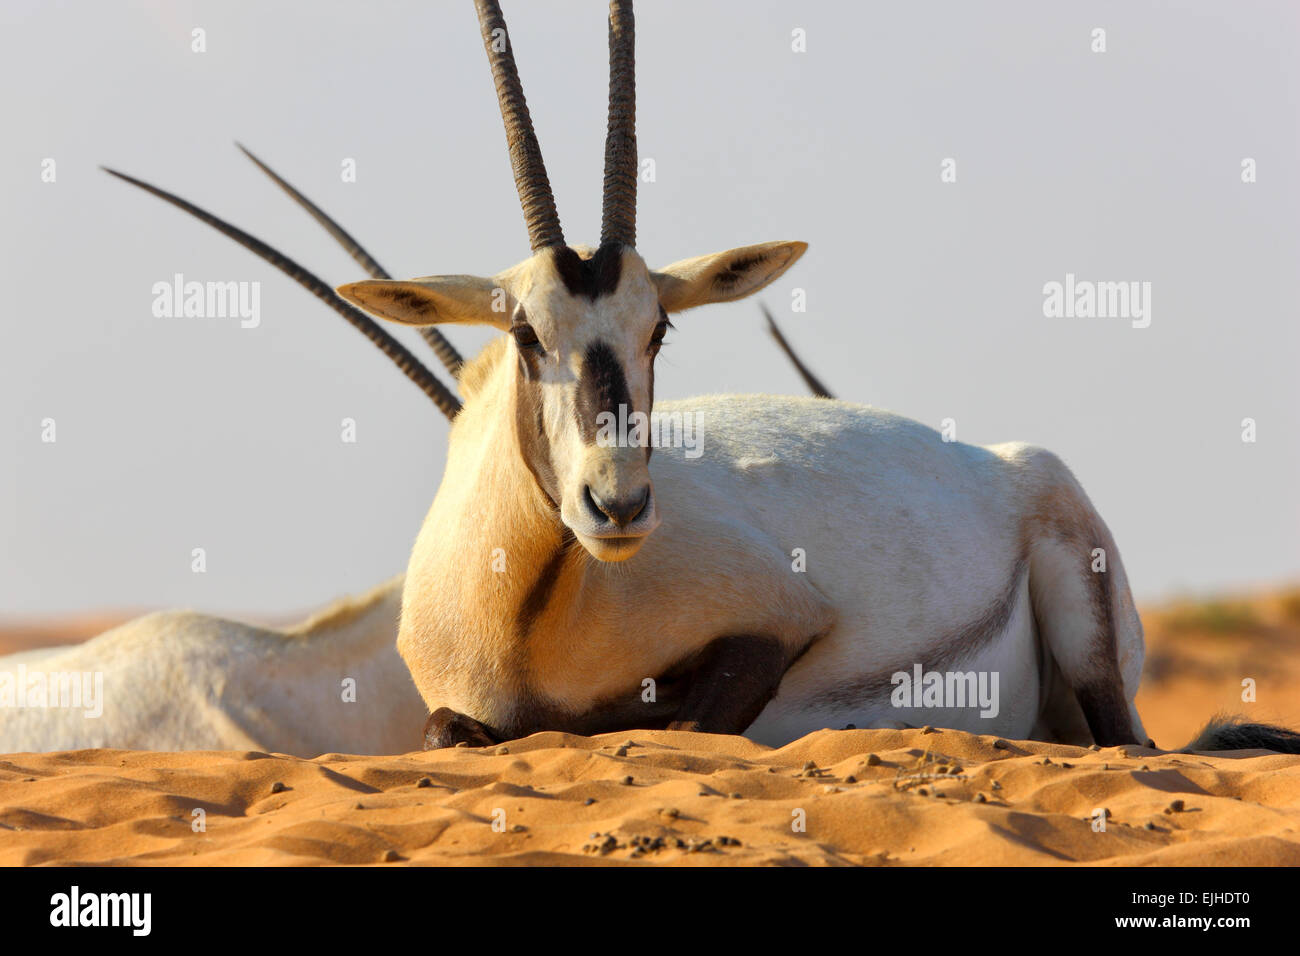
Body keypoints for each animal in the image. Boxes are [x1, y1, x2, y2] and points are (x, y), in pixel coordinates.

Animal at [323, 0, 1297, 755]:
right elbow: (447, 733)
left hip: (1091, 642)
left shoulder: (778, 623)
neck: (524, 613)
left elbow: (678, 726)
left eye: (658, 329)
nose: (619, 504)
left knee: (1128, 745)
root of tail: (1011, 461)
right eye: (526, 332)